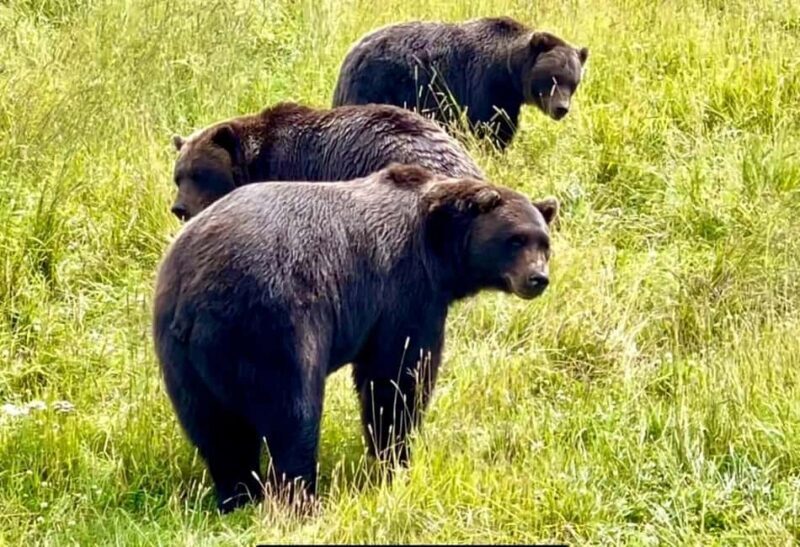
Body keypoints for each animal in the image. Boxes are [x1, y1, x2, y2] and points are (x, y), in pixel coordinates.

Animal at [152, 163, 559, 513]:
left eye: (544, 242)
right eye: (515, 239)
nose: (538, 279)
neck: (440, 248)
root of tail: (194, 293)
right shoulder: (404, 290)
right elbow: (397, 377)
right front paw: (394, 458)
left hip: (180, 354)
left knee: (216, 430)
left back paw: (238, 496)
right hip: (273, 321)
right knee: (292, 413)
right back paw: (301, 500)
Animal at [331, 16, 589, 151]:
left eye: (573, 83)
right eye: (553, 78)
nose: (561, 109)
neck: (510, 72)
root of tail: (351, 53)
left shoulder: (507, 97)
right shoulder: (485, 84)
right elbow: (490, 126)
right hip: (378, 85)